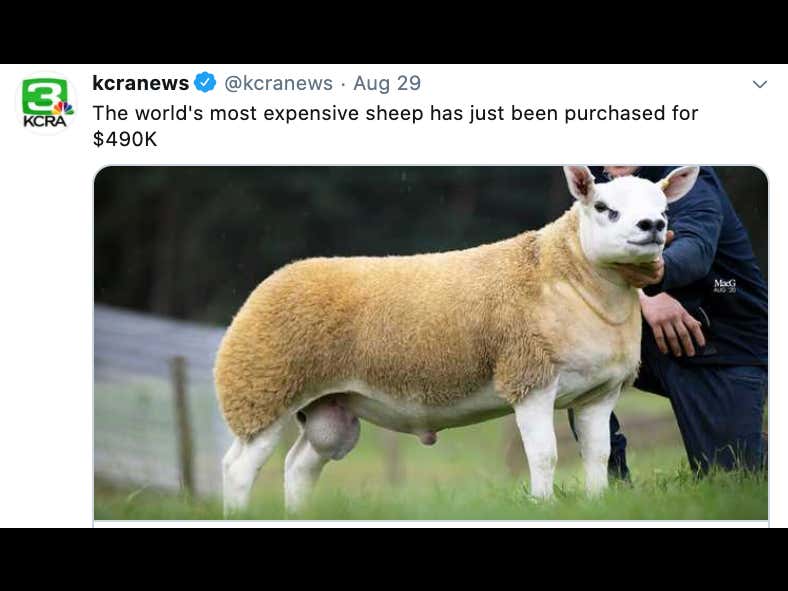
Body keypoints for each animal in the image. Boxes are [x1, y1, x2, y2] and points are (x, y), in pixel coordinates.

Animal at [214, 165, 700, 515]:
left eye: (664, 207)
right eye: (603, 207)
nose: (652, 225)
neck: (570, 277)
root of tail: (275, 279)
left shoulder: (600, 393)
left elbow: (599, 456)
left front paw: (597, 505)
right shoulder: (529, 378)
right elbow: (544, 455)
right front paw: (542, 506)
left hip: (328, 409)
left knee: (299, 465)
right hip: (261, 390)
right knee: (237, 468)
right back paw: (238, 513)